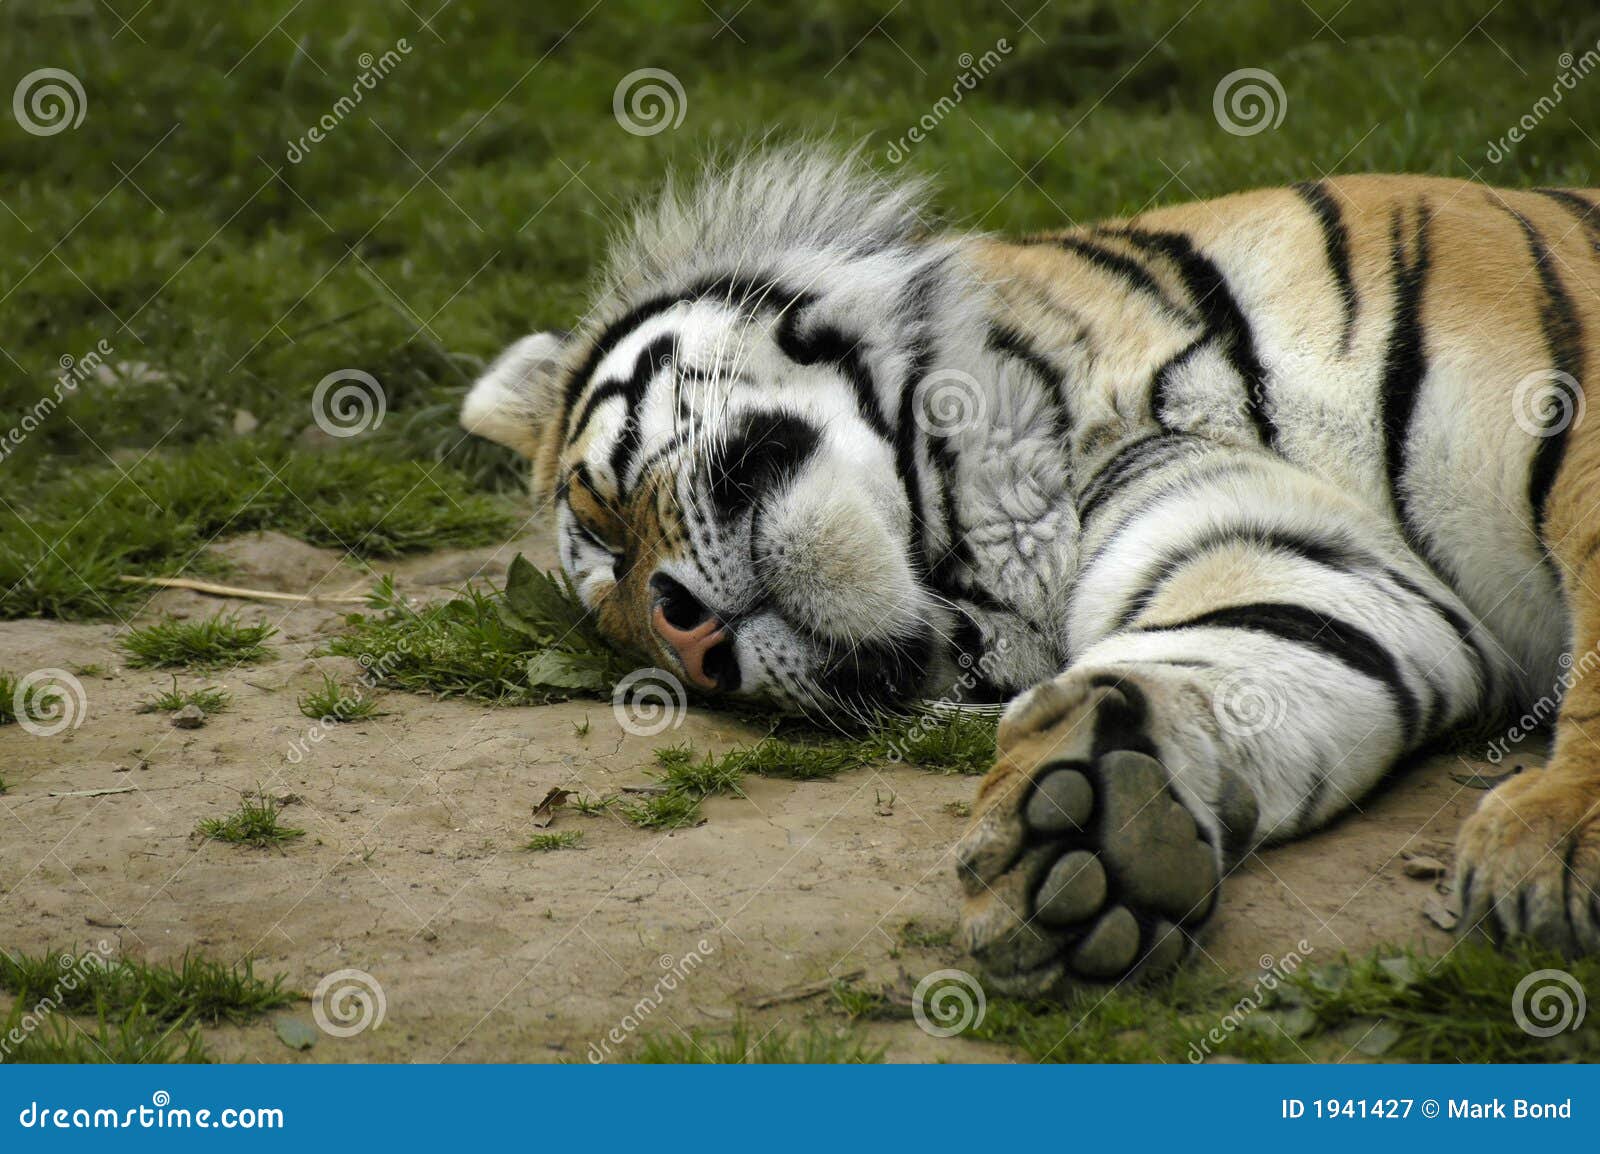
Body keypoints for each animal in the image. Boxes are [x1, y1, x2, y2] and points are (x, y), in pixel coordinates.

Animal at [460, 147, 1600, 995]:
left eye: (606, 524)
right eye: (645, 651)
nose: (689, 642)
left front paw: (1561, 840)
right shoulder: (1306, 552)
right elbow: (1269, 644)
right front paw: (1095, 830)